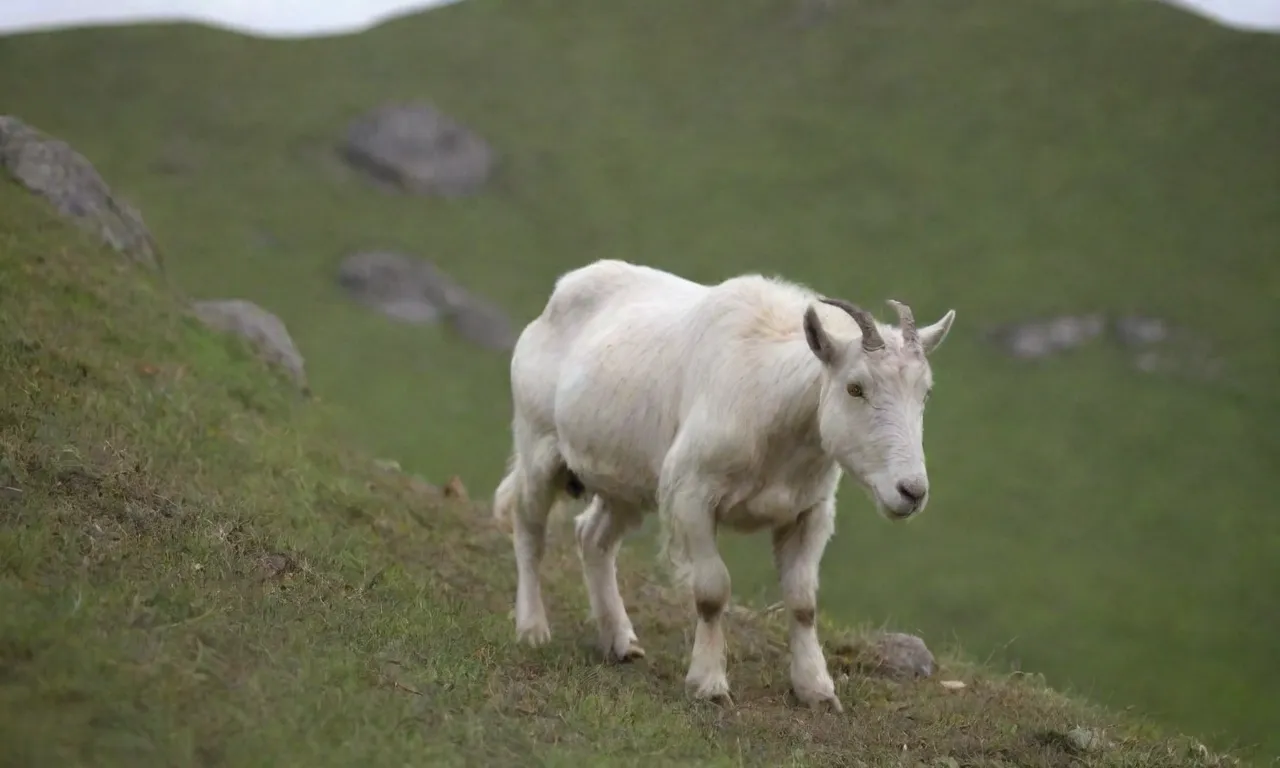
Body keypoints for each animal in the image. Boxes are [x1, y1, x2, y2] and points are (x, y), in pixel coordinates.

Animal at [492, 259, 956, 710]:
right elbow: (713, 590)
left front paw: (816, 689)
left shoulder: (810, 510)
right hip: (537, 442)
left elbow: (803, 600)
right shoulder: (692, 495)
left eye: (926, 393)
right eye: (855, 387)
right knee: (529, 525)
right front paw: (709, 684)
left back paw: (620, 642)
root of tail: (560, 292)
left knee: (593, 537)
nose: (911, 491)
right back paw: (532, 629)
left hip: (624, 479)